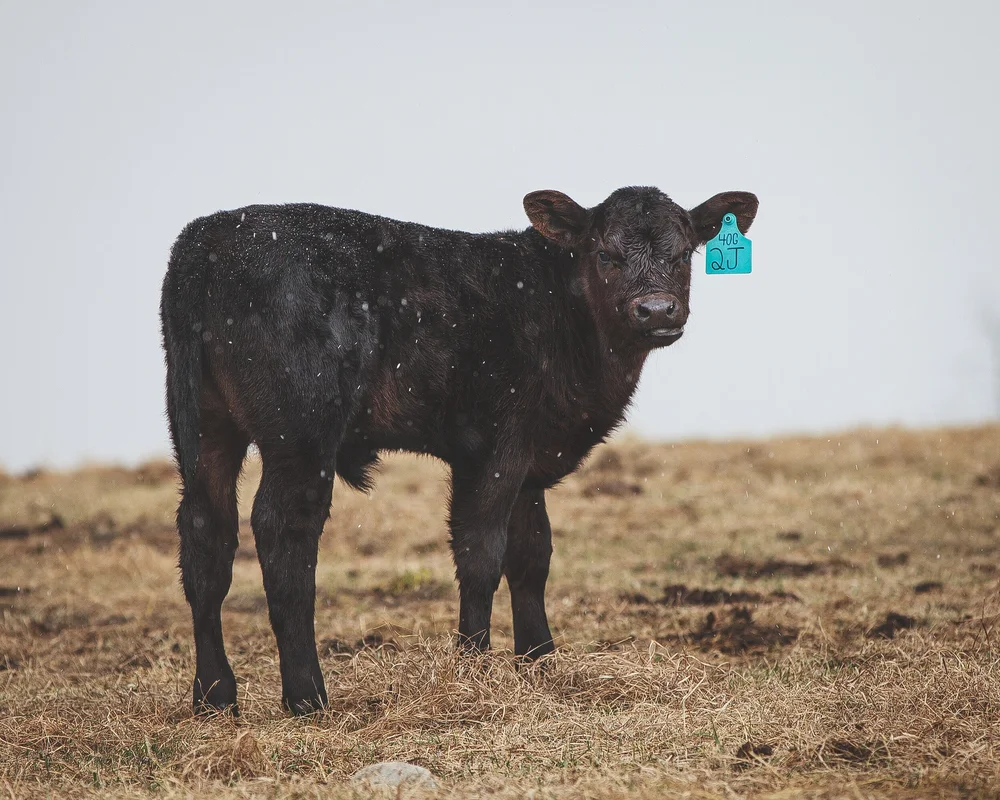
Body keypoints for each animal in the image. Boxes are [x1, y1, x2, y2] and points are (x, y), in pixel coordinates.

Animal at [160, 186, 758, 715]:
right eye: (605, 253)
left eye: (683, 253)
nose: (656, 310)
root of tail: (208, 238)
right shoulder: (495, 447)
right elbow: (481, 554)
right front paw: (474, 666)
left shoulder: (530, 461)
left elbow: (531, 556)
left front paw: (539, 661)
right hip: (301, 434)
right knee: (283, 534)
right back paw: (307, 697)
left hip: (203, 428)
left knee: (206, 535)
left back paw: (214, 697)